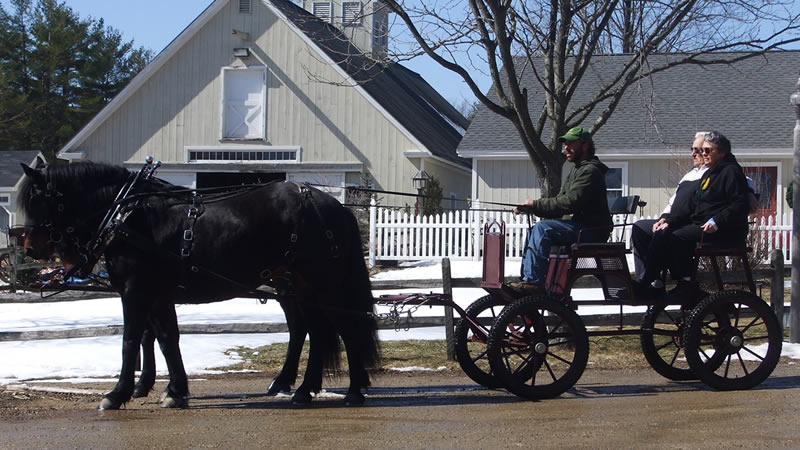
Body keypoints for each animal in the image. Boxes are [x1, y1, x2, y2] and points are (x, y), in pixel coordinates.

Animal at [19, 161, 380, 409]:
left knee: (345, 328)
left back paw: (352, 391)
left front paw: (118, 394)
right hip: (298, 285)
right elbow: (167, 339)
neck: (129, 216)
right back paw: (302, 390)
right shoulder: (159, 295)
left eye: (40, 201)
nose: (30, 248)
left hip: (324, 282)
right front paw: (174, 391)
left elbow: (130, 340)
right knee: (315, 331)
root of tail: (336, 207)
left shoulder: (136, 291)